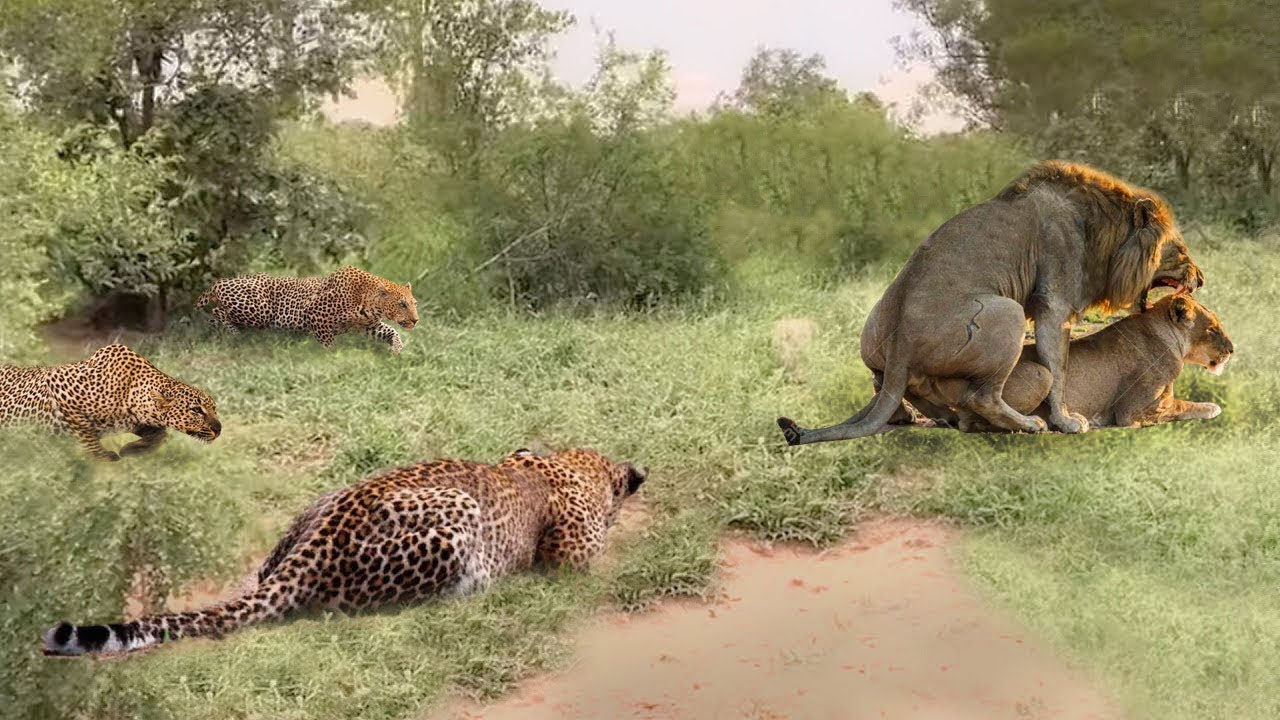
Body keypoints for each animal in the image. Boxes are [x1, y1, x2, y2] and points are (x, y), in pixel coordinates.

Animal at [0, 343, 221, 461]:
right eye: (196, 410)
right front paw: (104, 456)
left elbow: (159, 435)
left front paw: (131, 451)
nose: (218, 429)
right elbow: (85, 432)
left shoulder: (140, 422)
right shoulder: (59, 385)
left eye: (214, 409)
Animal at [195, 266, 419, 354]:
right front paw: (332, 357)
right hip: (260, 309)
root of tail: (220, 282)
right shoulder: (315, 315)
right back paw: (234, 333)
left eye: (413, 303)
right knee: (218, 312)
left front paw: (397, 350)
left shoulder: (366, 326)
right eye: (402, 304)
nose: (416, 320)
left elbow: (392, 331)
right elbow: (330, 344)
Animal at [907, 294, 1232, 431]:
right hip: (1040, 374)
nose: (1232, 349)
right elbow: (1184, 406)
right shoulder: (1133, 411)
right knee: (972, 420)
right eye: (1212, 329)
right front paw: (1213, 408)